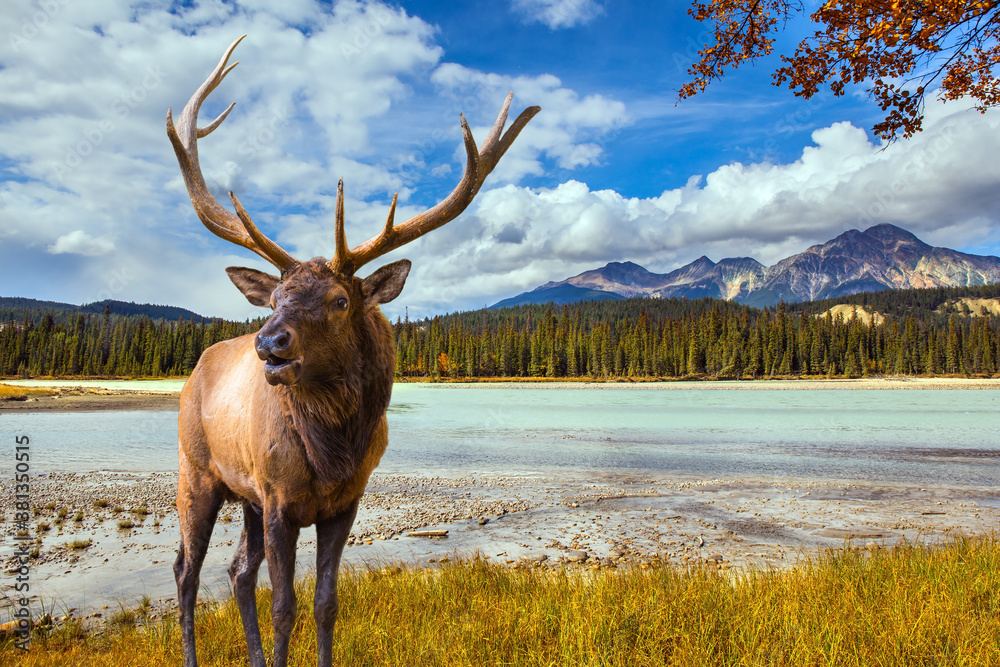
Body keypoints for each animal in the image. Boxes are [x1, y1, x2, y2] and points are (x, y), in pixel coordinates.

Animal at [165, 36, 538, 667]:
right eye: (276, 299)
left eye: (341, 299)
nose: (268, 342)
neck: (333, 450)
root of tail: (193, 373)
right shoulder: (280, 499)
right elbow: (285, 606)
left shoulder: (344, 502)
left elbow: (325, 604)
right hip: (197, 472)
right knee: (186, 571)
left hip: (245, 499)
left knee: (236, 571)